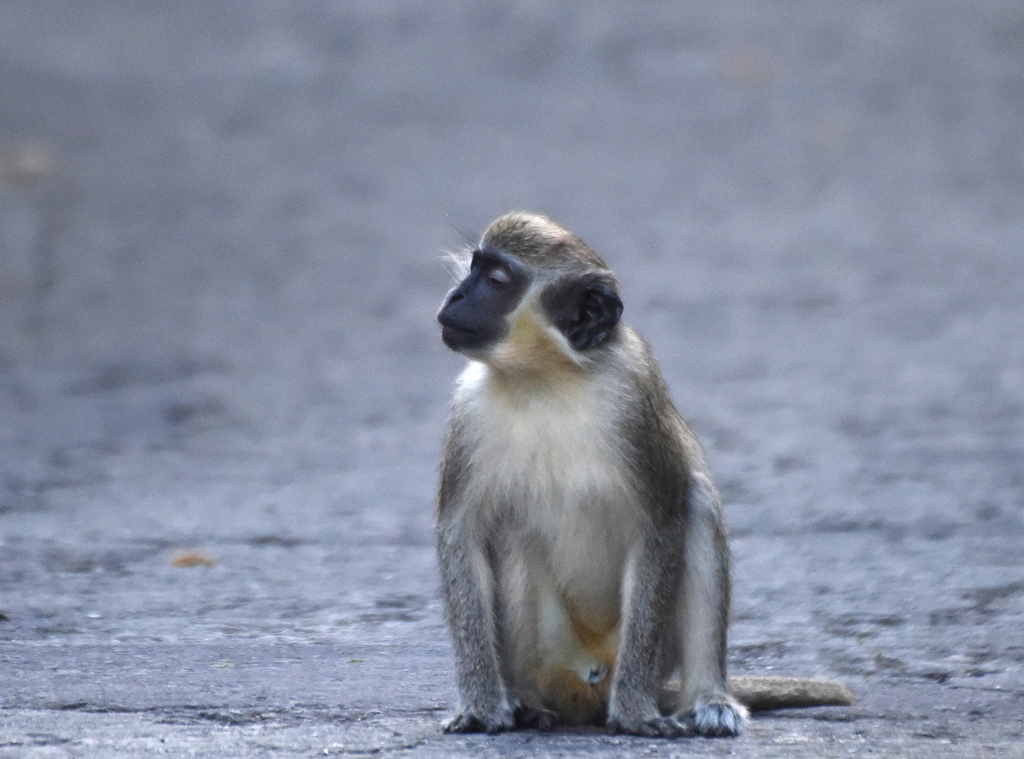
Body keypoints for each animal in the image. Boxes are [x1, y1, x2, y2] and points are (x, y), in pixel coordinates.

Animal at [434, 212, 853, 737]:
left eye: (495, 280)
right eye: (475, 268)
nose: (454, 297)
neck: (547, 379)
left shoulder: (634, 396)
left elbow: (663, 523)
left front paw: (634, 710)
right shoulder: (467, 408)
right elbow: (461, 533)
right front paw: (481, 704)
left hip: (649, 654)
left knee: (697, 503)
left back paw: (706, 700)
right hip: (550, 652)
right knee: (512, 534)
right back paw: (528, 703)